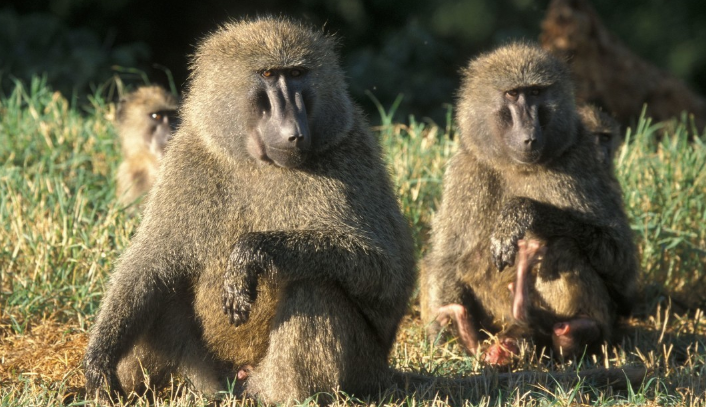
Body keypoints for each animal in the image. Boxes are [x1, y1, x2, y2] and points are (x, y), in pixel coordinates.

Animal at [84, 17, 416, 404]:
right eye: (269, 74)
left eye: (298, 73)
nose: (294, 131)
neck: (258, 163)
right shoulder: (185, 159)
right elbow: (151, 263)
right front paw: (99, 362)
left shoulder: (353, 152)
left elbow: (387, 272)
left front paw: (251, 254)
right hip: (207, 371)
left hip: (363, 369)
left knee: (314, 284)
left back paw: (285, 395)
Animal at [419, 42, 638, 365]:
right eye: (512, 94)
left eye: (535, 92)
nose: (529, 135)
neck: (517, 167)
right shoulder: (466, 172)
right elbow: (446, 258)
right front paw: (441, 338)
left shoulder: (580, 161)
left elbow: (620, 261)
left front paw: (521, 213)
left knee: (561, 247)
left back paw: (565, 330)